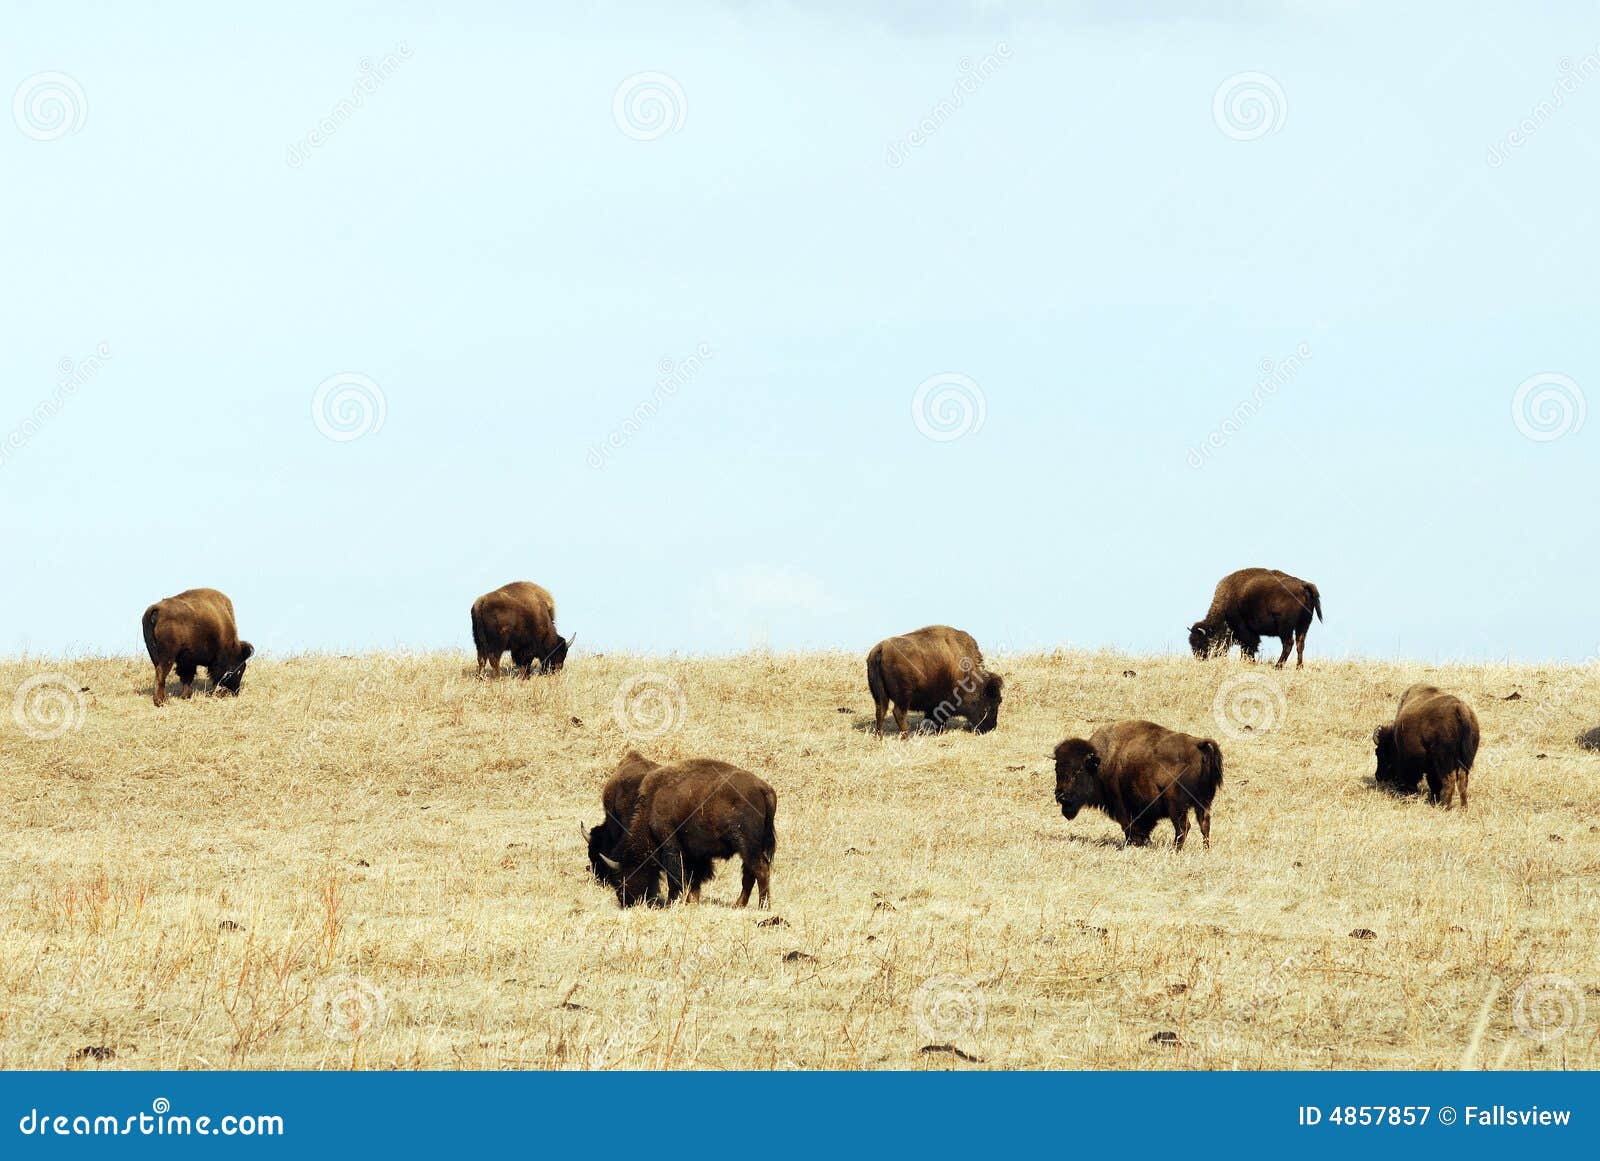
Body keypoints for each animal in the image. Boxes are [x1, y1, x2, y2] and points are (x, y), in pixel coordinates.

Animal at [597, 758, 777, 908]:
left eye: (623, 879)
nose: (626, 902)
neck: (651, 807)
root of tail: (764, 788)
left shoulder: (671, 846)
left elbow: (676, 876)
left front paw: (672, 903)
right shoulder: (695, 854)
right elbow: (694, 878)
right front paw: (692, 902)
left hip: (746, 845)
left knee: (760, 869)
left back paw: (763, 906)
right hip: (749, 848)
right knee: (749, 873)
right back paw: (739, 905)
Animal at [866, 625, 1003, 738]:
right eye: (989, 705)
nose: (991, 728)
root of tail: (880, 649)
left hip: (880, 695)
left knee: (880, 711)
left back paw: (878, 737)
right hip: (903, 697)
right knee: (898, 713)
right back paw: (906, 737)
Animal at [1053, 720, 1224, 849]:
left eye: (1078, 771)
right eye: (1057, 769)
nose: (1060, 795)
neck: (1100, 763)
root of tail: (1198, 745)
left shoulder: (1122, 806)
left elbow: (1129, 827)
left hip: (1177, 805)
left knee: (1183, 827)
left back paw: (1175, 850)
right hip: (1203, 802)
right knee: (1204, 824)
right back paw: (1205, 850)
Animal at [1189, 567, 1323, 668]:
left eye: (1202, 641)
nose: (1199, 658)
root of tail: (1303, 585)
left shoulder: (1246, 632)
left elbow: (1249, 648)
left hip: (1285, 628)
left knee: (1288, 644)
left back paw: (1278, 666)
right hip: (1304, 624)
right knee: (1300, 644)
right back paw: (1298, 667)